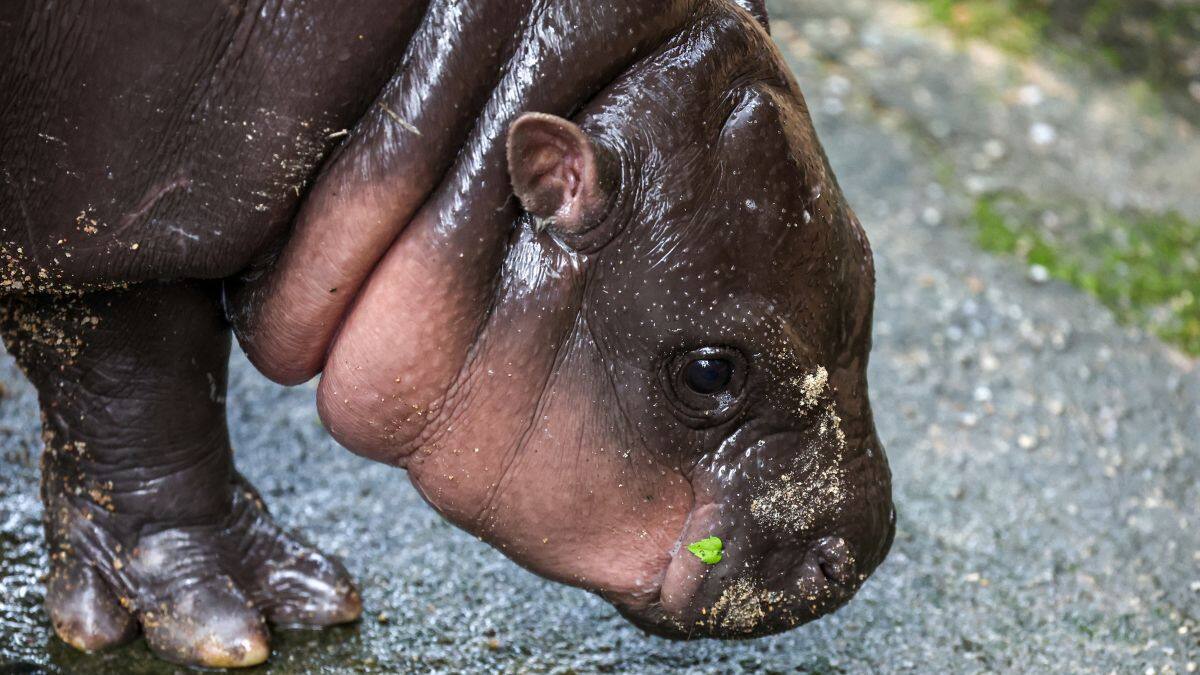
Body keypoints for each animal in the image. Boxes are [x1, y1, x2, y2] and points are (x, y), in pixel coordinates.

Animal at [0, 0, 894, 668]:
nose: (865, 551)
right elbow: (142, 382)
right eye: (709, 372)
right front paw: (221, 617)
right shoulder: (109, 221)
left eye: (870, 260)